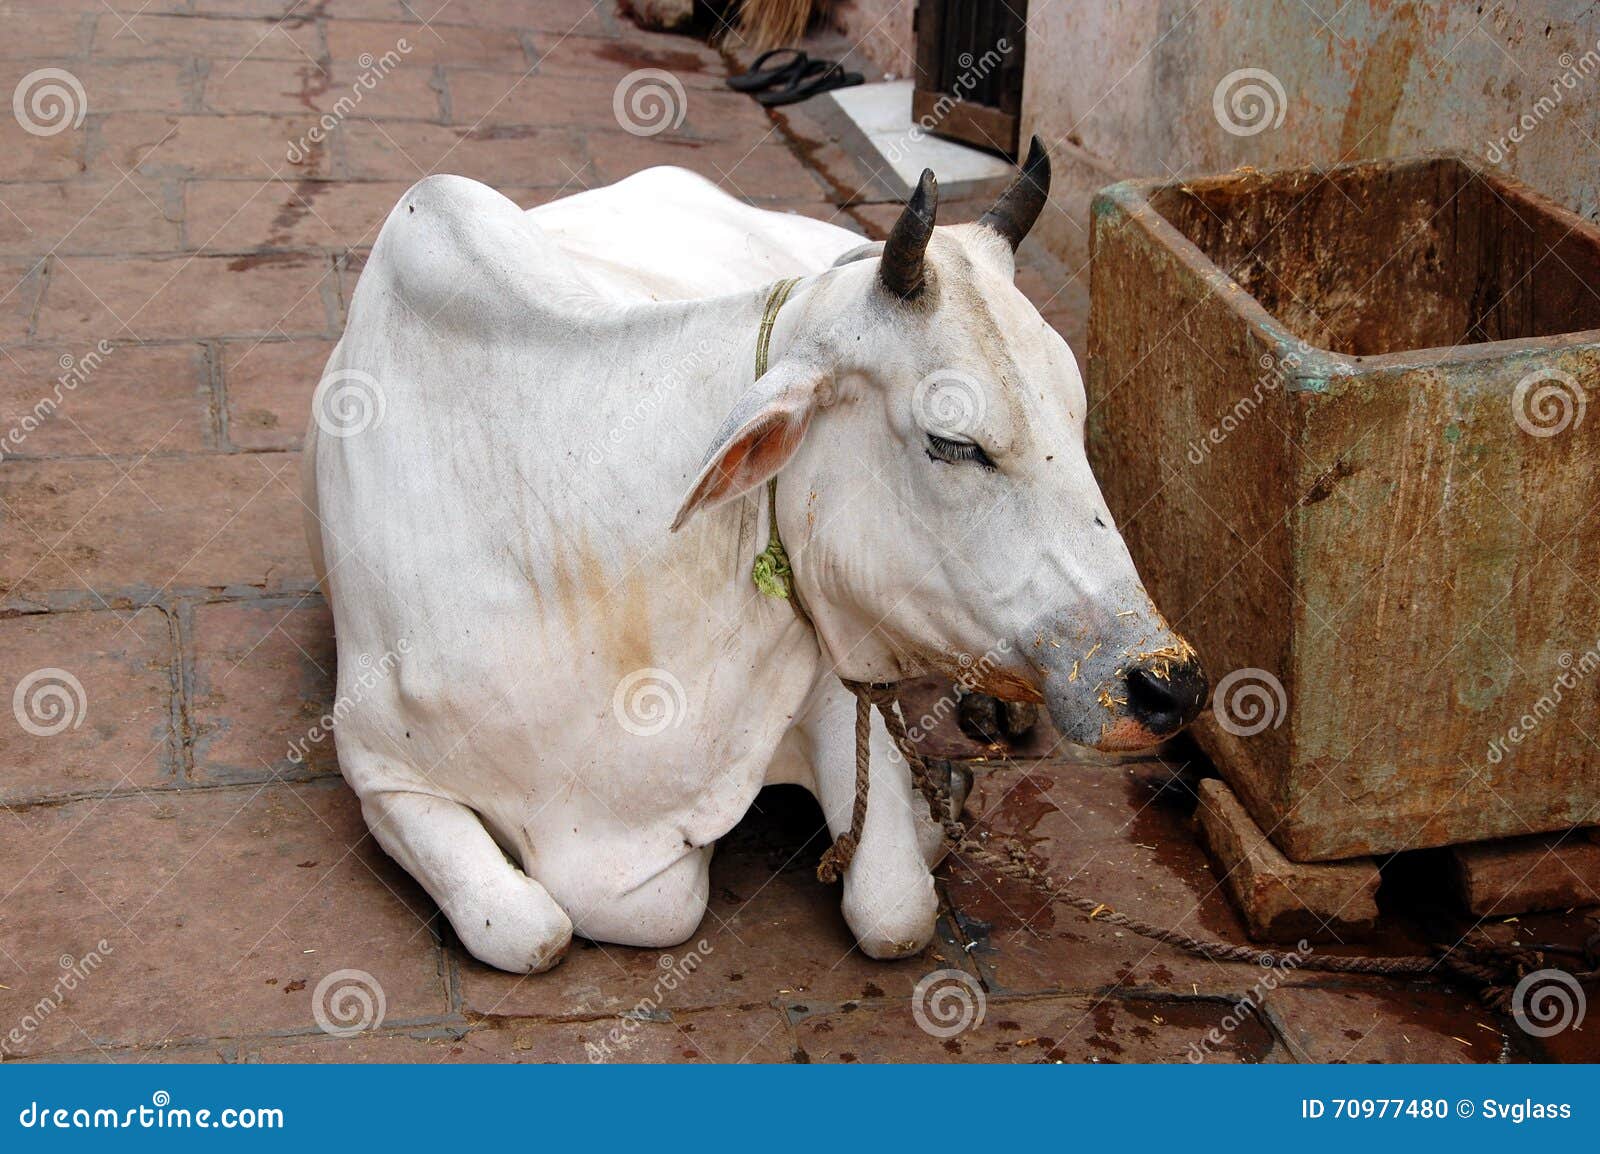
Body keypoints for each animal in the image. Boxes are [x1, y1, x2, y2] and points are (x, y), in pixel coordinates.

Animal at [301, 140, 1207, 975]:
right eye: (953, 442)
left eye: (1077, 414)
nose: (1170, 684)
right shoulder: (378, 769)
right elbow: (532, 930)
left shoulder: (835, 667)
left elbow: (894, 906)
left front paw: (927, 815)